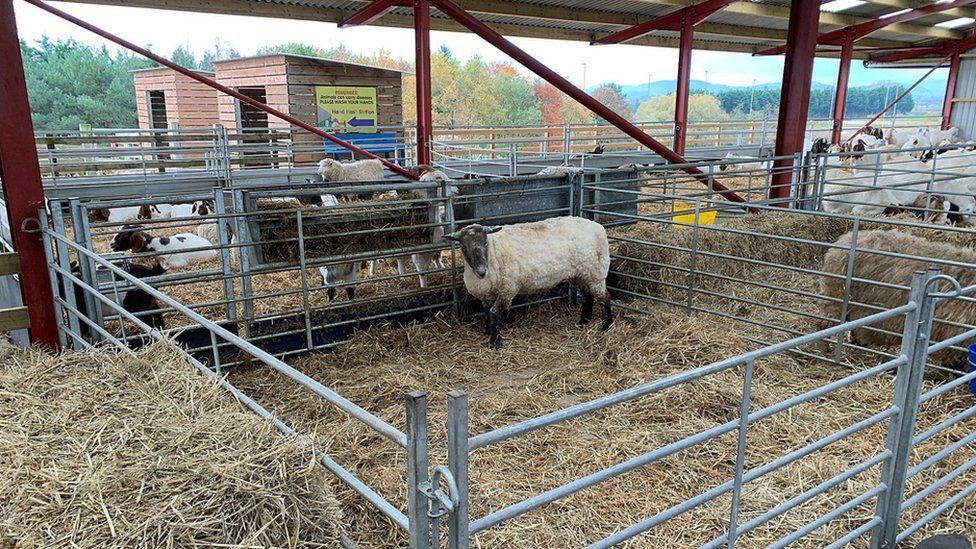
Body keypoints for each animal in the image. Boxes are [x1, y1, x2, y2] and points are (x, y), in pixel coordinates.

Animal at [443, 216, 612, 349]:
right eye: (463, 247)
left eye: (485, 243)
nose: (481, 271)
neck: (493, 253)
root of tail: (597, 226)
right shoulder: (485, 293)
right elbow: (486, 312)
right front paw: (488, 331)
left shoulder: (508, 289)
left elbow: (494, 312)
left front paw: (495, 342)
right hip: (579, 274)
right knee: (588, 296)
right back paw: (584, 322)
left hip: (596, 272)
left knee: (605, 297)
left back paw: (606, 325)